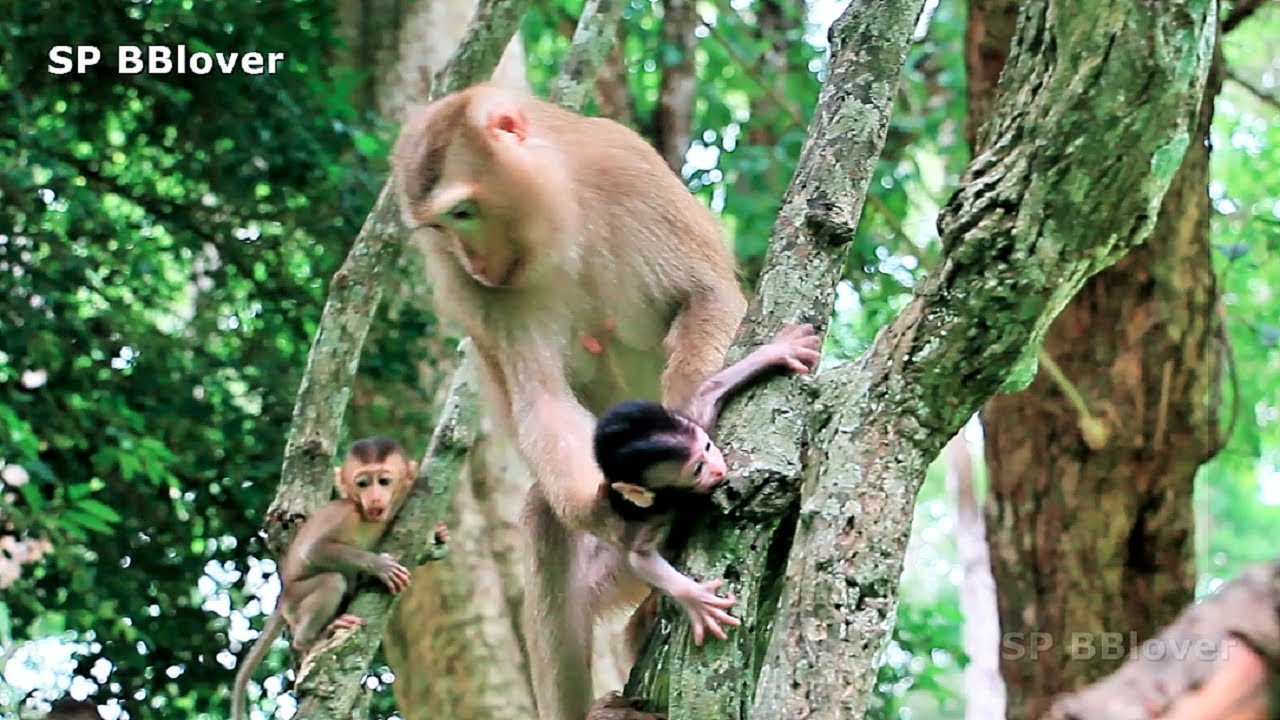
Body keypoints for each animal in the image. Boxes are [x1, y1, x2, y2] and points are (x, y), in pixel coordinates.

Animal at [231, 437, 445, 720]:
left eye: (384, 481)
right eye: (362, 483)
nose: (374, 497)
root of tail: (282, 596)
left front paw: (440, 533)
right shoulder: (344, 512)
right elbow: (314, 550)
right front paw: (379, 565)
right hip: (295, 598)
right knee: (332, 580)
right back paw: (311, 637)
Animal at [391, 83, 749, 720]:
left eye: (461, 212)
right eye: (438, 228)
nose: (472, 261)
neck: (559, 219)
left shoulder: (626, 168)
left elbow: (707, 296)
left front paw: (689, 411)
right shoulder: (484, 298)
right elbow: (543, 401)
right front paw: (606, 503)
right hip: (615, 568)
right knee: (546, 522)